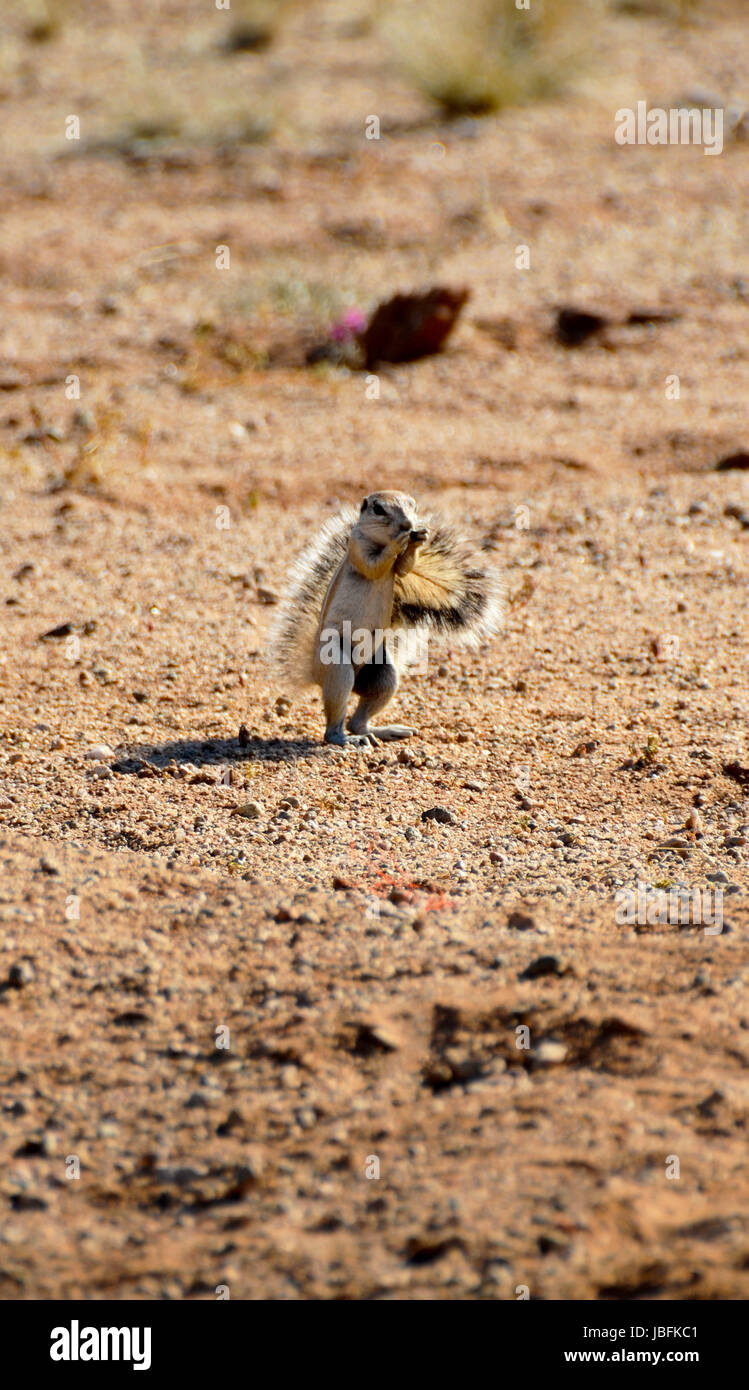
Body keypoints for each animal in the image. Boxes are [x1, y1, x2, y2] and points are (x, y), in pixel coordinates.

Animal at [270, 491, 503, 747]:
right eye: (378, 509)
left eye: (413, 505)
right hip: (336, 666)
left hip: (383, 674)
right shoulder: (356, 547)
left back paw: (383, 731)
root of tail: (315, 674)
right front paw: (398, 541)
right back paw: (347, 740)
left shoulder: (398, 566)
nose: (408, 525)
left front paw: (417, 541)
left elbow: (403, 568)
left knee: (358, 719)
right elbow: (373, 566)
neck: (379, 540)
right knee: (334, 726)